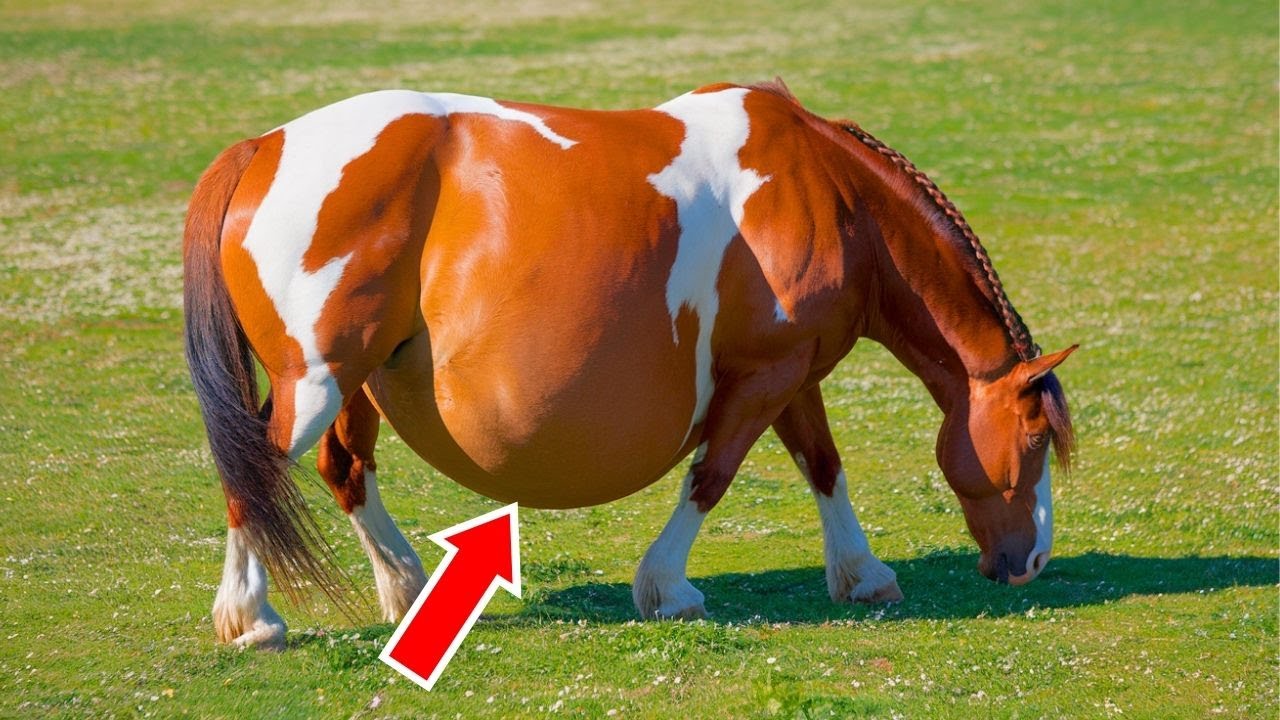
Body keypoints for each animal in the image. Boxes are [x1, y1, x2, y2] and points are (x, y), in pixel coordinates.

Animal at [183, 79, 1075, 649]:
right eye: (1034, 439)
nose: (1031, 562)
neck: (830, 194)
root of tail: (263, 146)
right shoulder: (766, 376)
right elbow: (711, 476)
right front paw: (666, 587)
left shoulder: (793, 371)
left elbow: (823, 466)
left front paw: (862, 574)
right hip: (318, 381)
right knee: (259, 467)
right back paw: (252, 620)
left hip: (360, 379)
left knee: (345, 469)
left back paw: (403, 586)